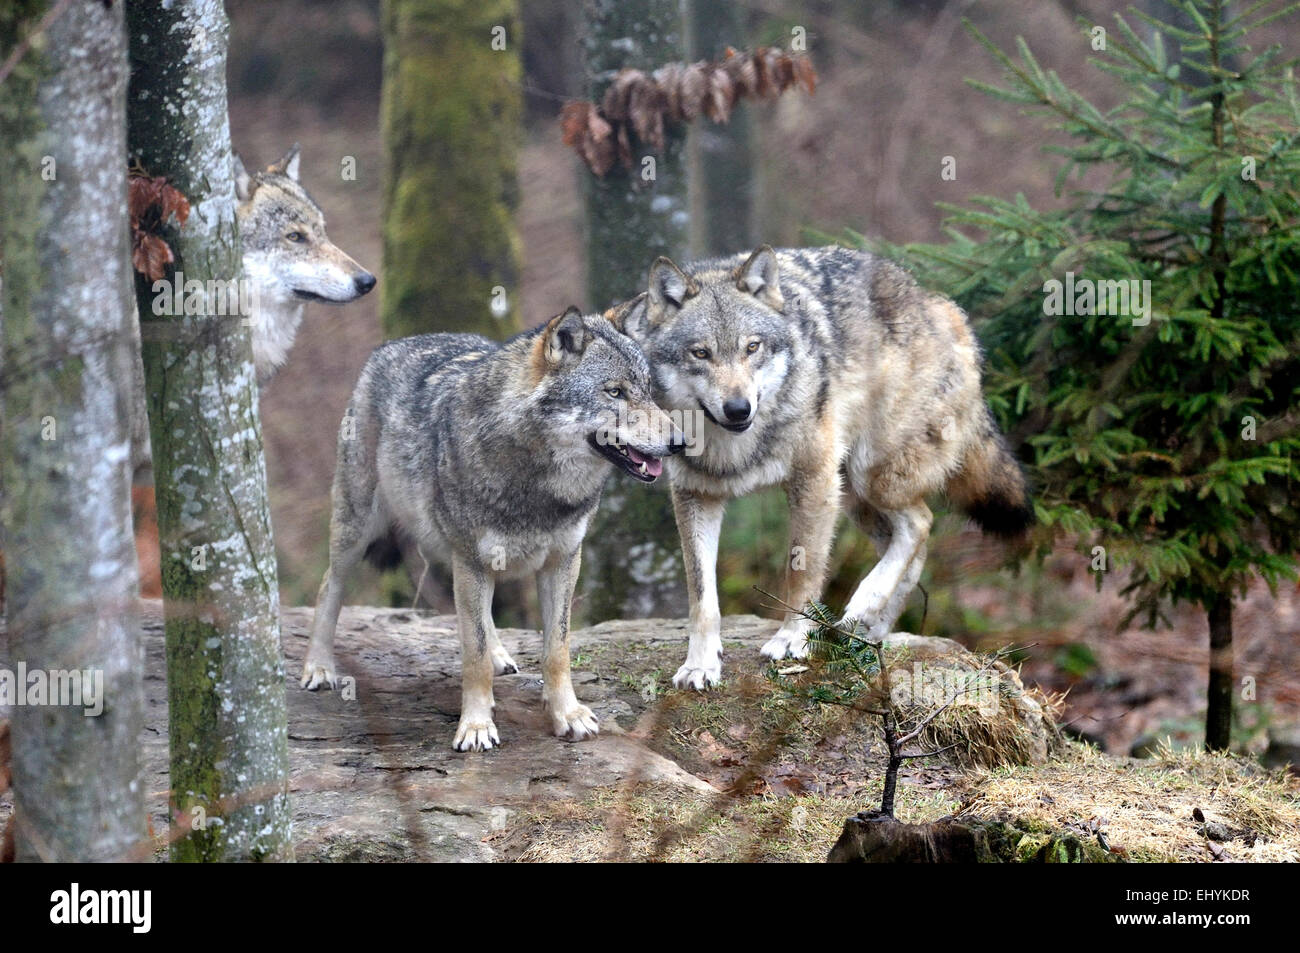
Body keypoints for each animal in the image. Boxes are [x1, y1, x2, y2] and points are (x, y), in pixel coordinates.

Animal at [299, 307, 684, 750]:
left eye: (648, 390)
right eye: (615, 392)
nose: (680, 441)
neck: (539, 486)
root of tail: (390, 345)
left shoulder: (563, 561)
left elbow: (556, 649)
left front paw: (566, 714)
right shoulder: (472, 561)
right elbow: (475, 655)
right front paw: (477, 726)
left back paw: (501, 653)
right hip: (358, 531)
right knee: (328, 587)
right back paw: (318, 667)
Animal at [614, 245, 1032, 690]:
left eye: (752, 348)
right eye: (700, 353)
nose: (739, 408)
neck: (735, 447)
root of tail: (941, 305)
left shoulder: (812, 480)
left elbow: (802, 569)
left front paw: (793, 638)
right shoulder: (695, 494)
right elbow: (701, 595)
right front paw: (700, 664)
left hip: (870, 476)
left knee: (920, 522)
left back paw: (862, 608)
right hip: (852, 495)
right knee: (913, 542)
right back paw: (867, 629)